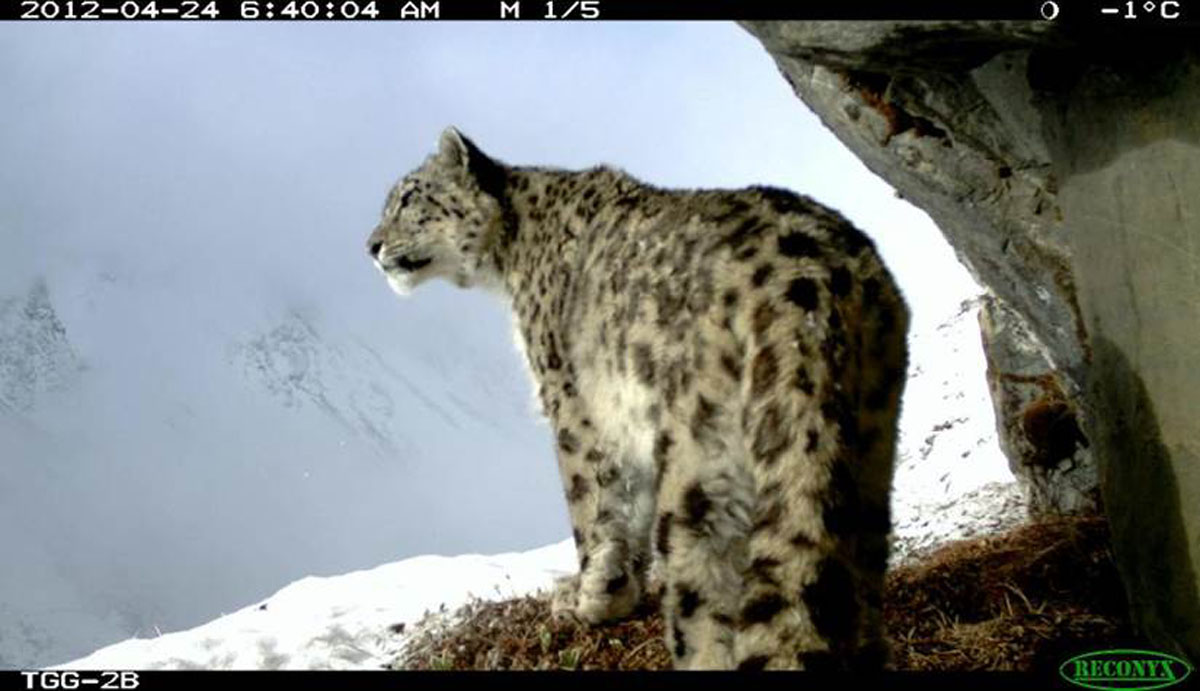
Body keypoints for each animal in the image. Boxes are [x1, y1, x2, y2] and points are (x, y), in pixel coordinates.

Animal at [366, 127, 909, 670]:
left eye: (408, 198)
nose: (371, 246)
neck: (509, 263)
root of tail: (806, 280)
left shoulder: (570, 402)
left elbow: (591, 505)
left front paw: (589, 598)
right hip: (869, 434)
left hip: (701, 463)